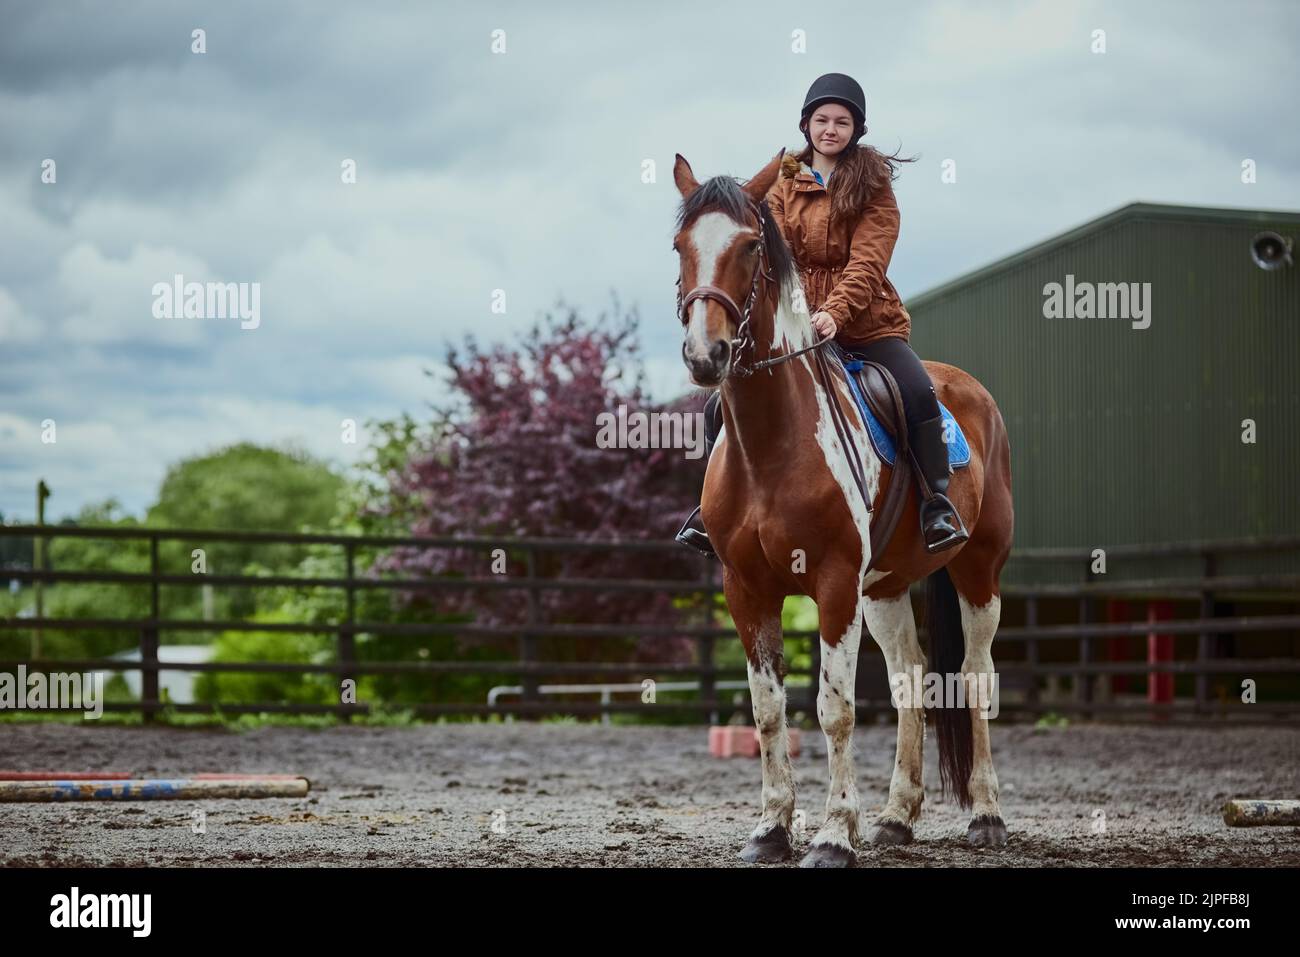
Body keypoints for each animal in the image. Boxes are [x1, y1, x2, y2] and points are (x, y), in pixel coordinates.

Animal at [672, 150, 1015, 867]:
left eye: (749, 247)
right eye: (681, 246)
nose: (704, 355)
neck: (772, 442)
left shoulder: (831, 584)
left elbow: (835, 710)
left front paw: (832, 835)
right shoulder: (746, 588)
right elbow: (768, 709)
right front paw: (772, 829)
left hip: (978, 572)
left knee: (974, 676)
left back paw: (987, 816)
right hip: (883, 589)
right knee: (912, 678)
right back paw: (895, 818)